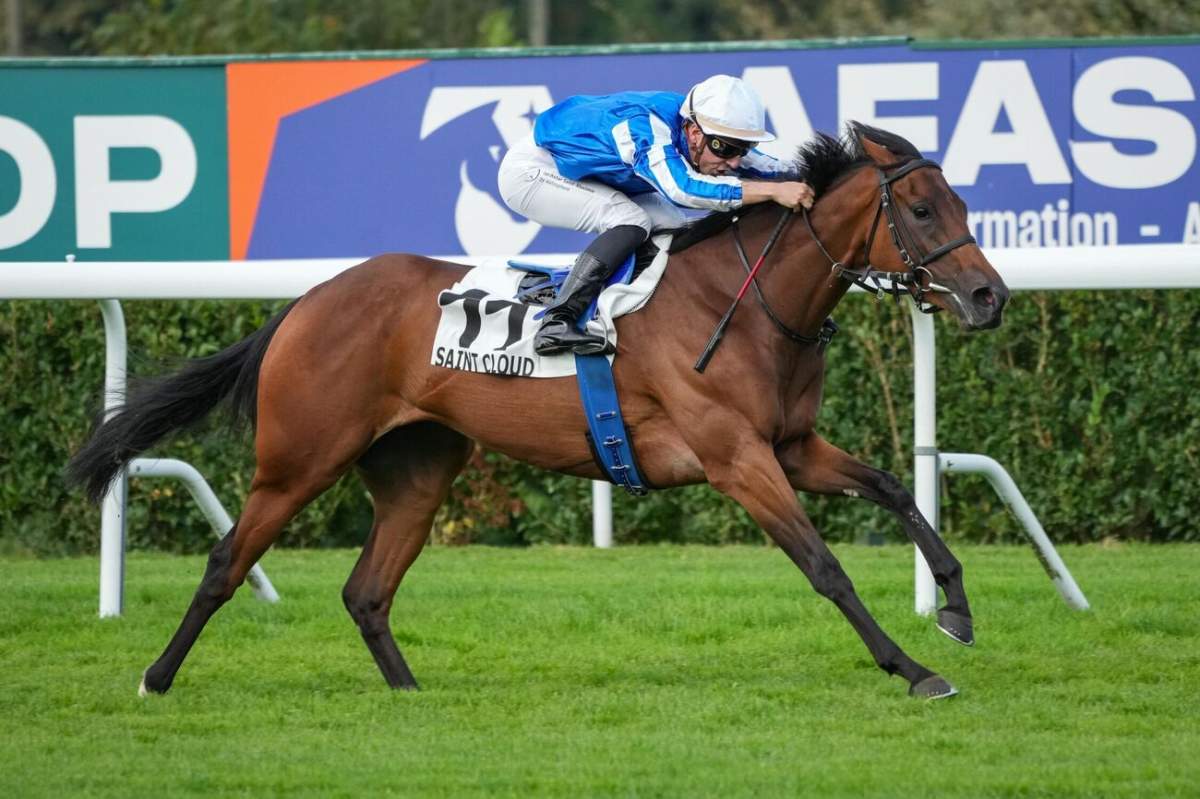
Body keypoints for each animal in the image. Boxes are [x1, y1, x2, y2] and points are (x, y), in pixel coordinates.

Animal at [68, 123, 1008, 700]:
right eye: (921, 208)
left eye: (964, 204)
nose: (989, 296)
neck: (744, 301)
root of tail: (305, 302)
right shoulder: (736, 457)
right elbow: (824, 565)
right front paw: (913, 666)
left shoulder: (791, 443)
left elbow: (893, 487)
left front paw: (957, 608)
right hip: (300, 459)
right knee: (227, 562)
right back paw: (155, 677)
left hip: (418, 468)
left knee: (367, 590)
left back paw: (409, 693)